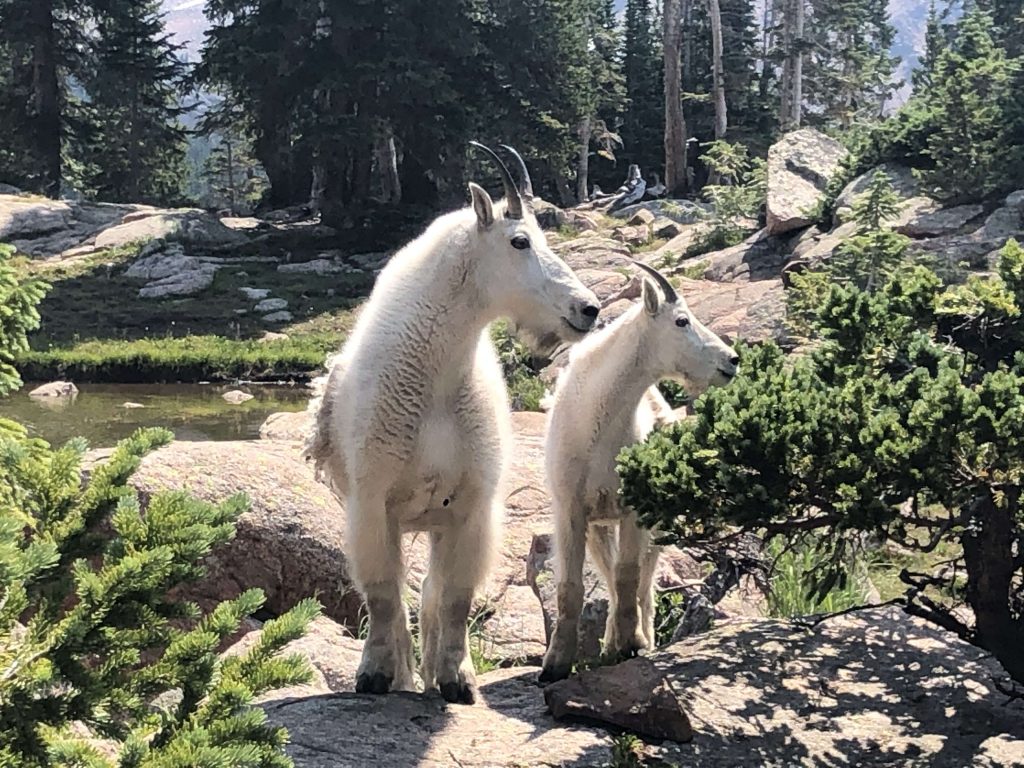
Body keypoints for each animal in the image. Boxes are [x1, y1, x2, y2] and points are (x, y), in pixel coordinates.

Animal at [305, 143, 600, 703]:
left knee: (429, 592)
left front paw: (457, 680)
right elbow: (382, 593)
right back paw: (401, 675)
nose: (589, 309)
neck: (438, 380)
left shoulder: (472, 505)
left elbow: (456, 599)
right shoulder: (372, 499)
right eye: (520, 240)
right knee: (401, 594)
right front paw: (374, 676)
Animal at [539, 262, 738, 682]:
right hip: (600, 525)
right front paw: (555, 664)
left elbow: (629, 575)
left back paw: (640, 637)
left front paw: (632, 644)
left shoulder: (633, 508)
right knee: (612, 574)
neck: (599, 419)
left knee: (644, 582)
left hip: (657, 520)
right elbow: (571, 587)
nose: (732, 360)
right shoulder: (571, 510)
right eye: (681, 320)